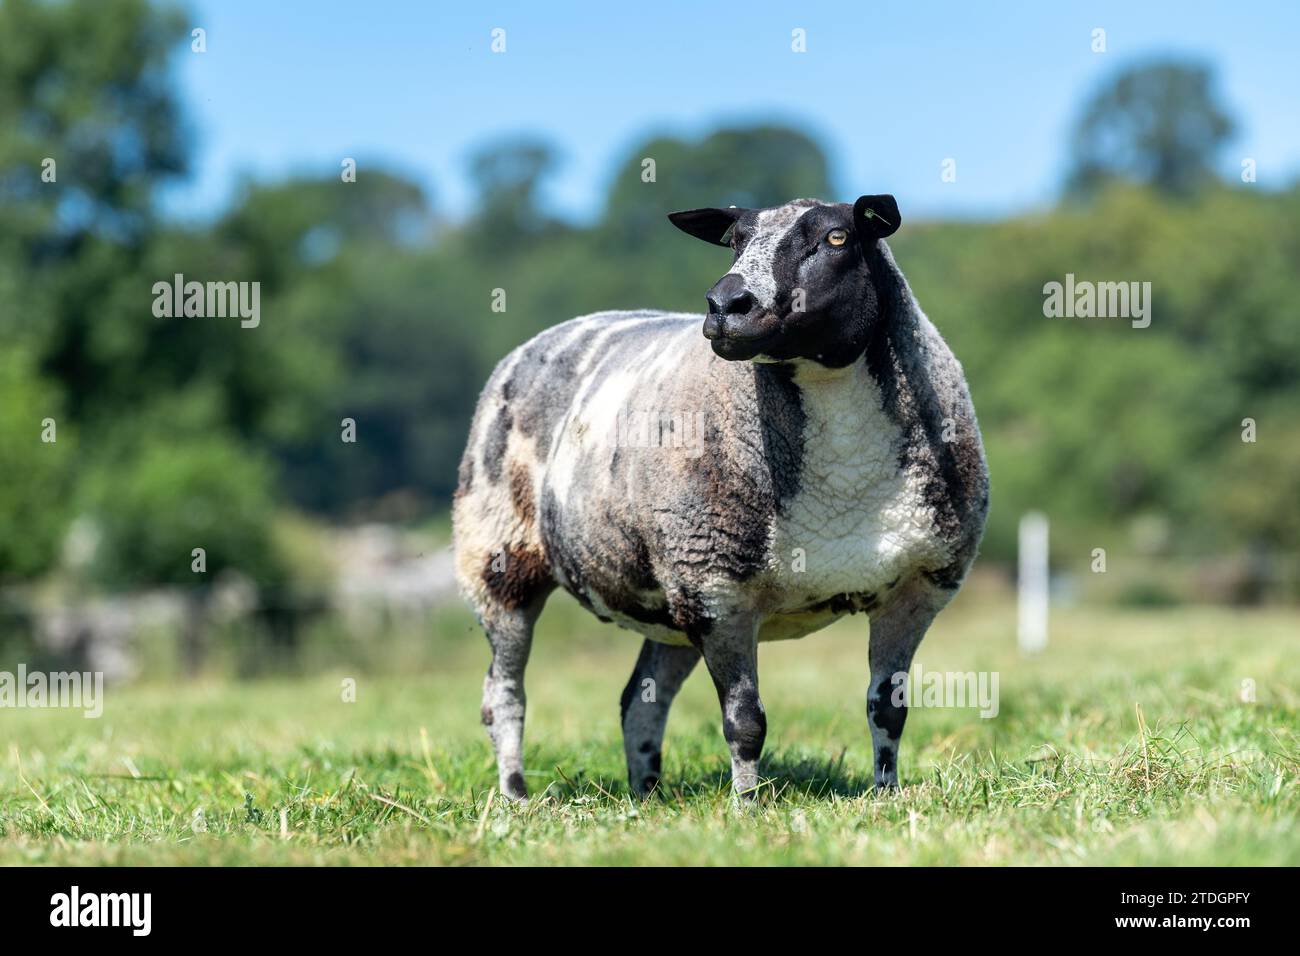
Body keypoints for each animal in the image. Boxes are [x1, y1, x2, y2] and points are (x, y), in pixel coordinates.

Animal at [453, 194, 989, 800]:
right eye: (734, 241)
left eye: (837, 238)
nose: (725, 304)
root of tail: (543, 338)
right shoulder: (720, 589)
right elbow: (745, 721)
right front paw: (746, 806)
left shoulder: (916, 588)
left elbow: (887, 709)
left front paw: (886, 796)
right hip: (500, 554)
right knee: (504, 697)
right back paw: (516, 795)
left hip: (670, 590)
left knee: (641, 698)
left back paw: (647, 796)